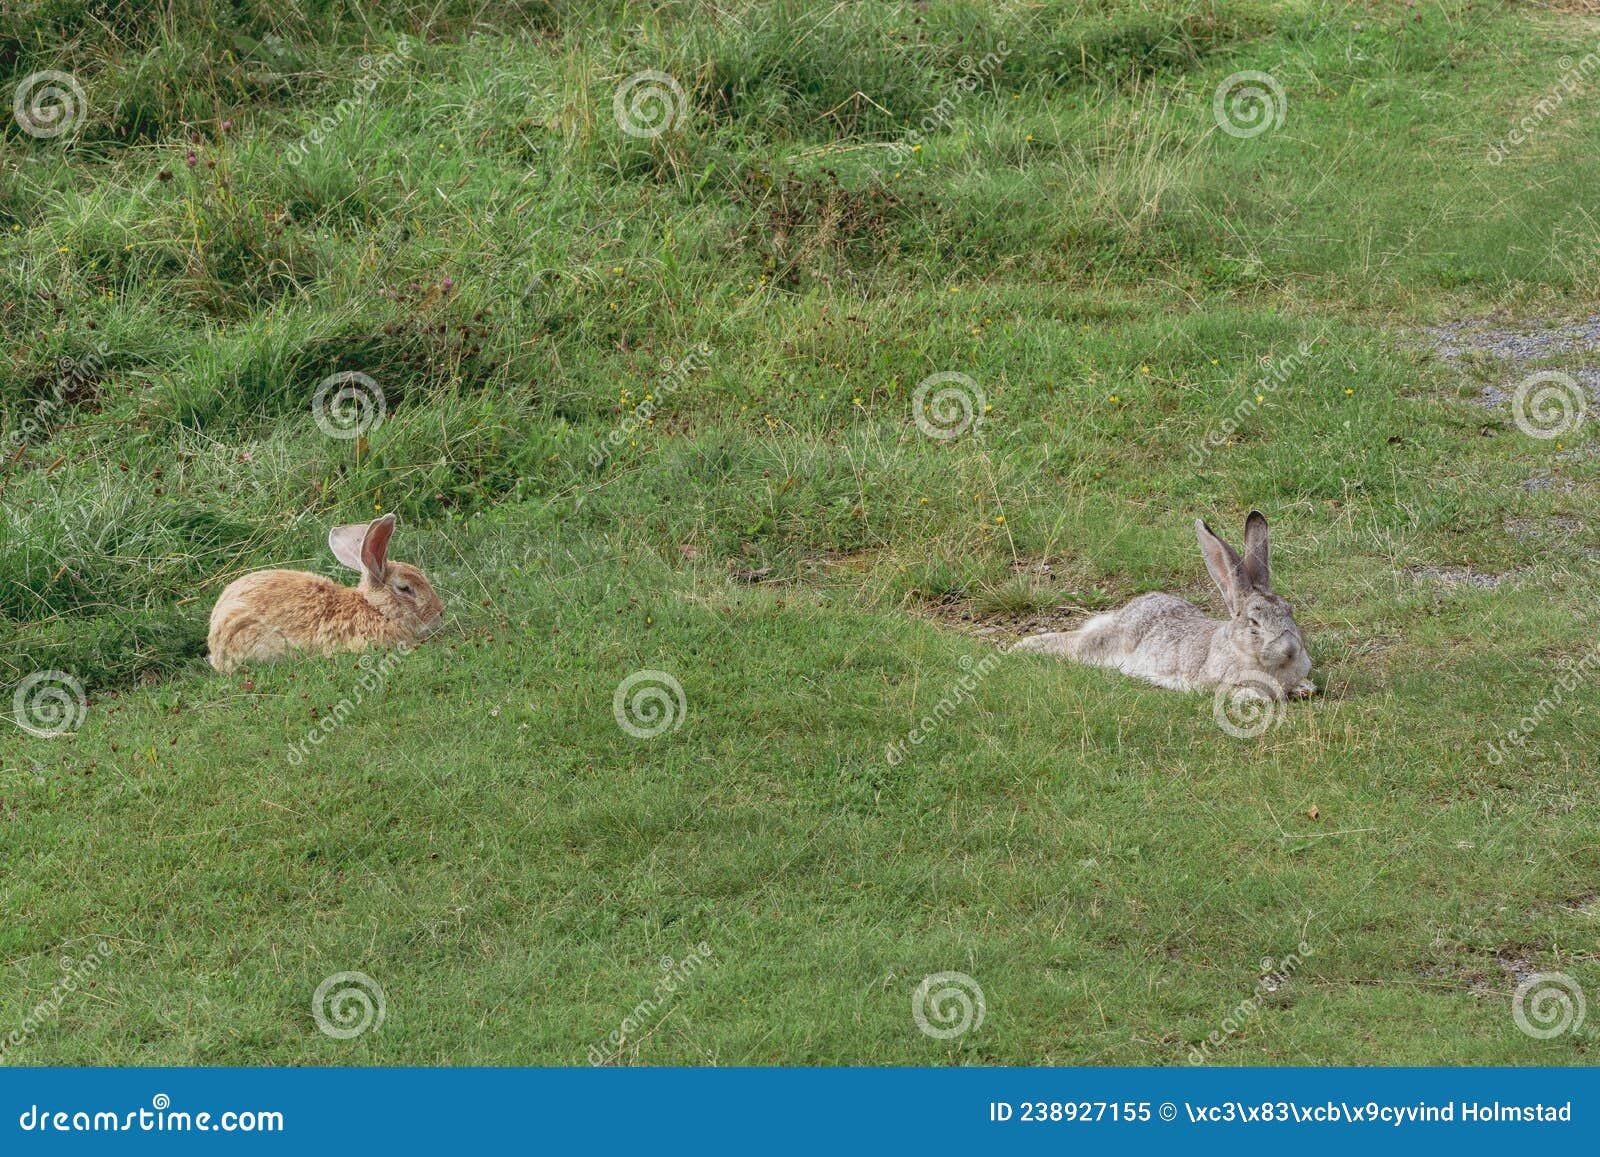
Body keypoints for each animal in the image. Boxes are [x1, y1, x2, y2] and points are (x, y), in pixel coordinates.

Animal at [1014, 511, 1314, 701]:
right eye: (1254, 623)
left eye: (1290, 611)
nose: (1290, 649)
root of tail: (1122, 614)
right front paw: (1257, 697)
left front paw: (1303, 688)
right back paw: (1021, 648)